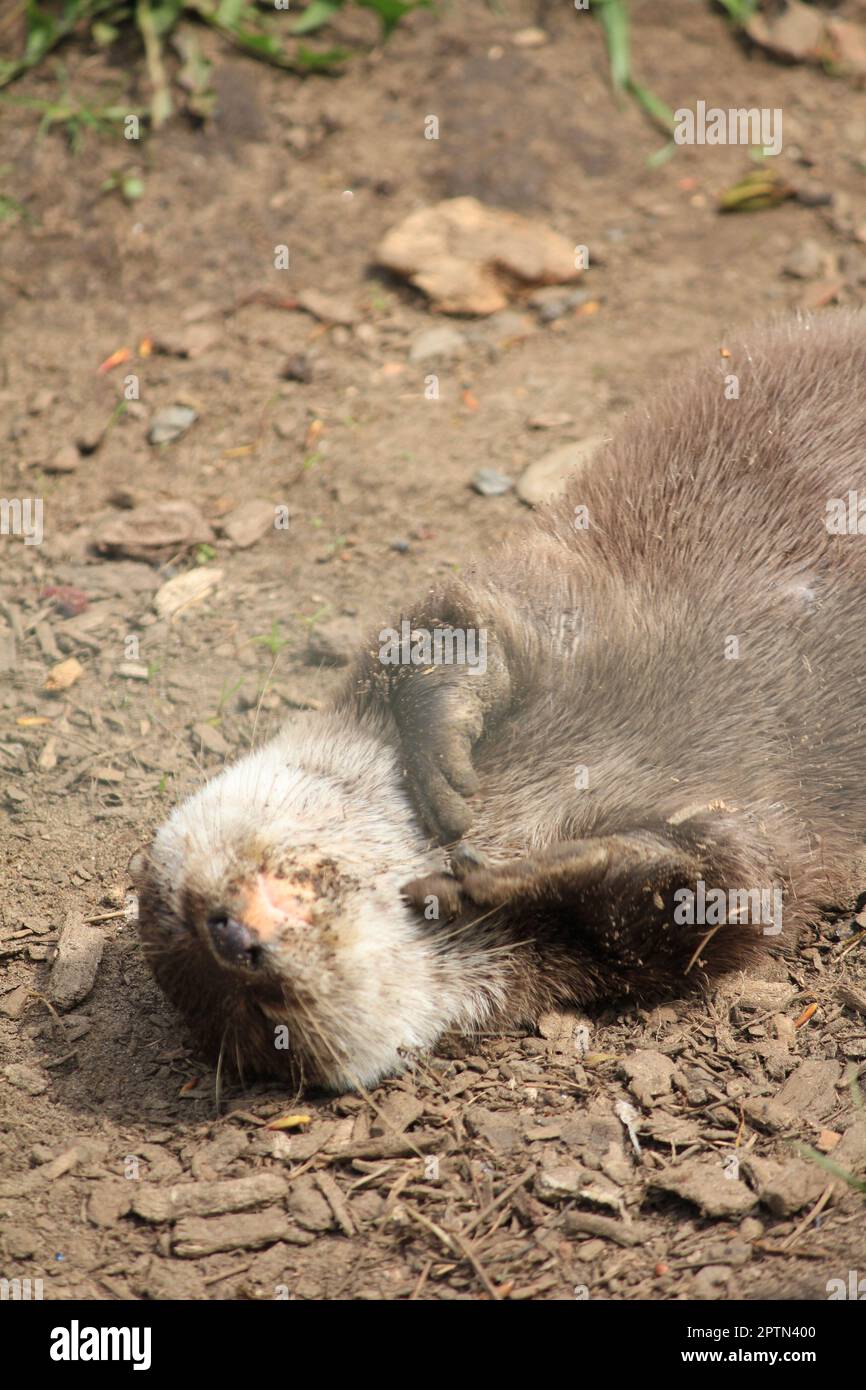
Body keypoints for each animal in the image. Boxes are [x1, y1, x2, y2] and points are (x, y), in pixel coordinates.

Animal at [134, 311, 866, 1091]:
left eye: (192, 913)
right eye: (258, 1011)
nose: (232, 936)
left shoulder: (573, 586)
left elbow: (462, 626)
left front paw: (450, 773)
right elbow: (724, 892)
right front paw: (521, 875)